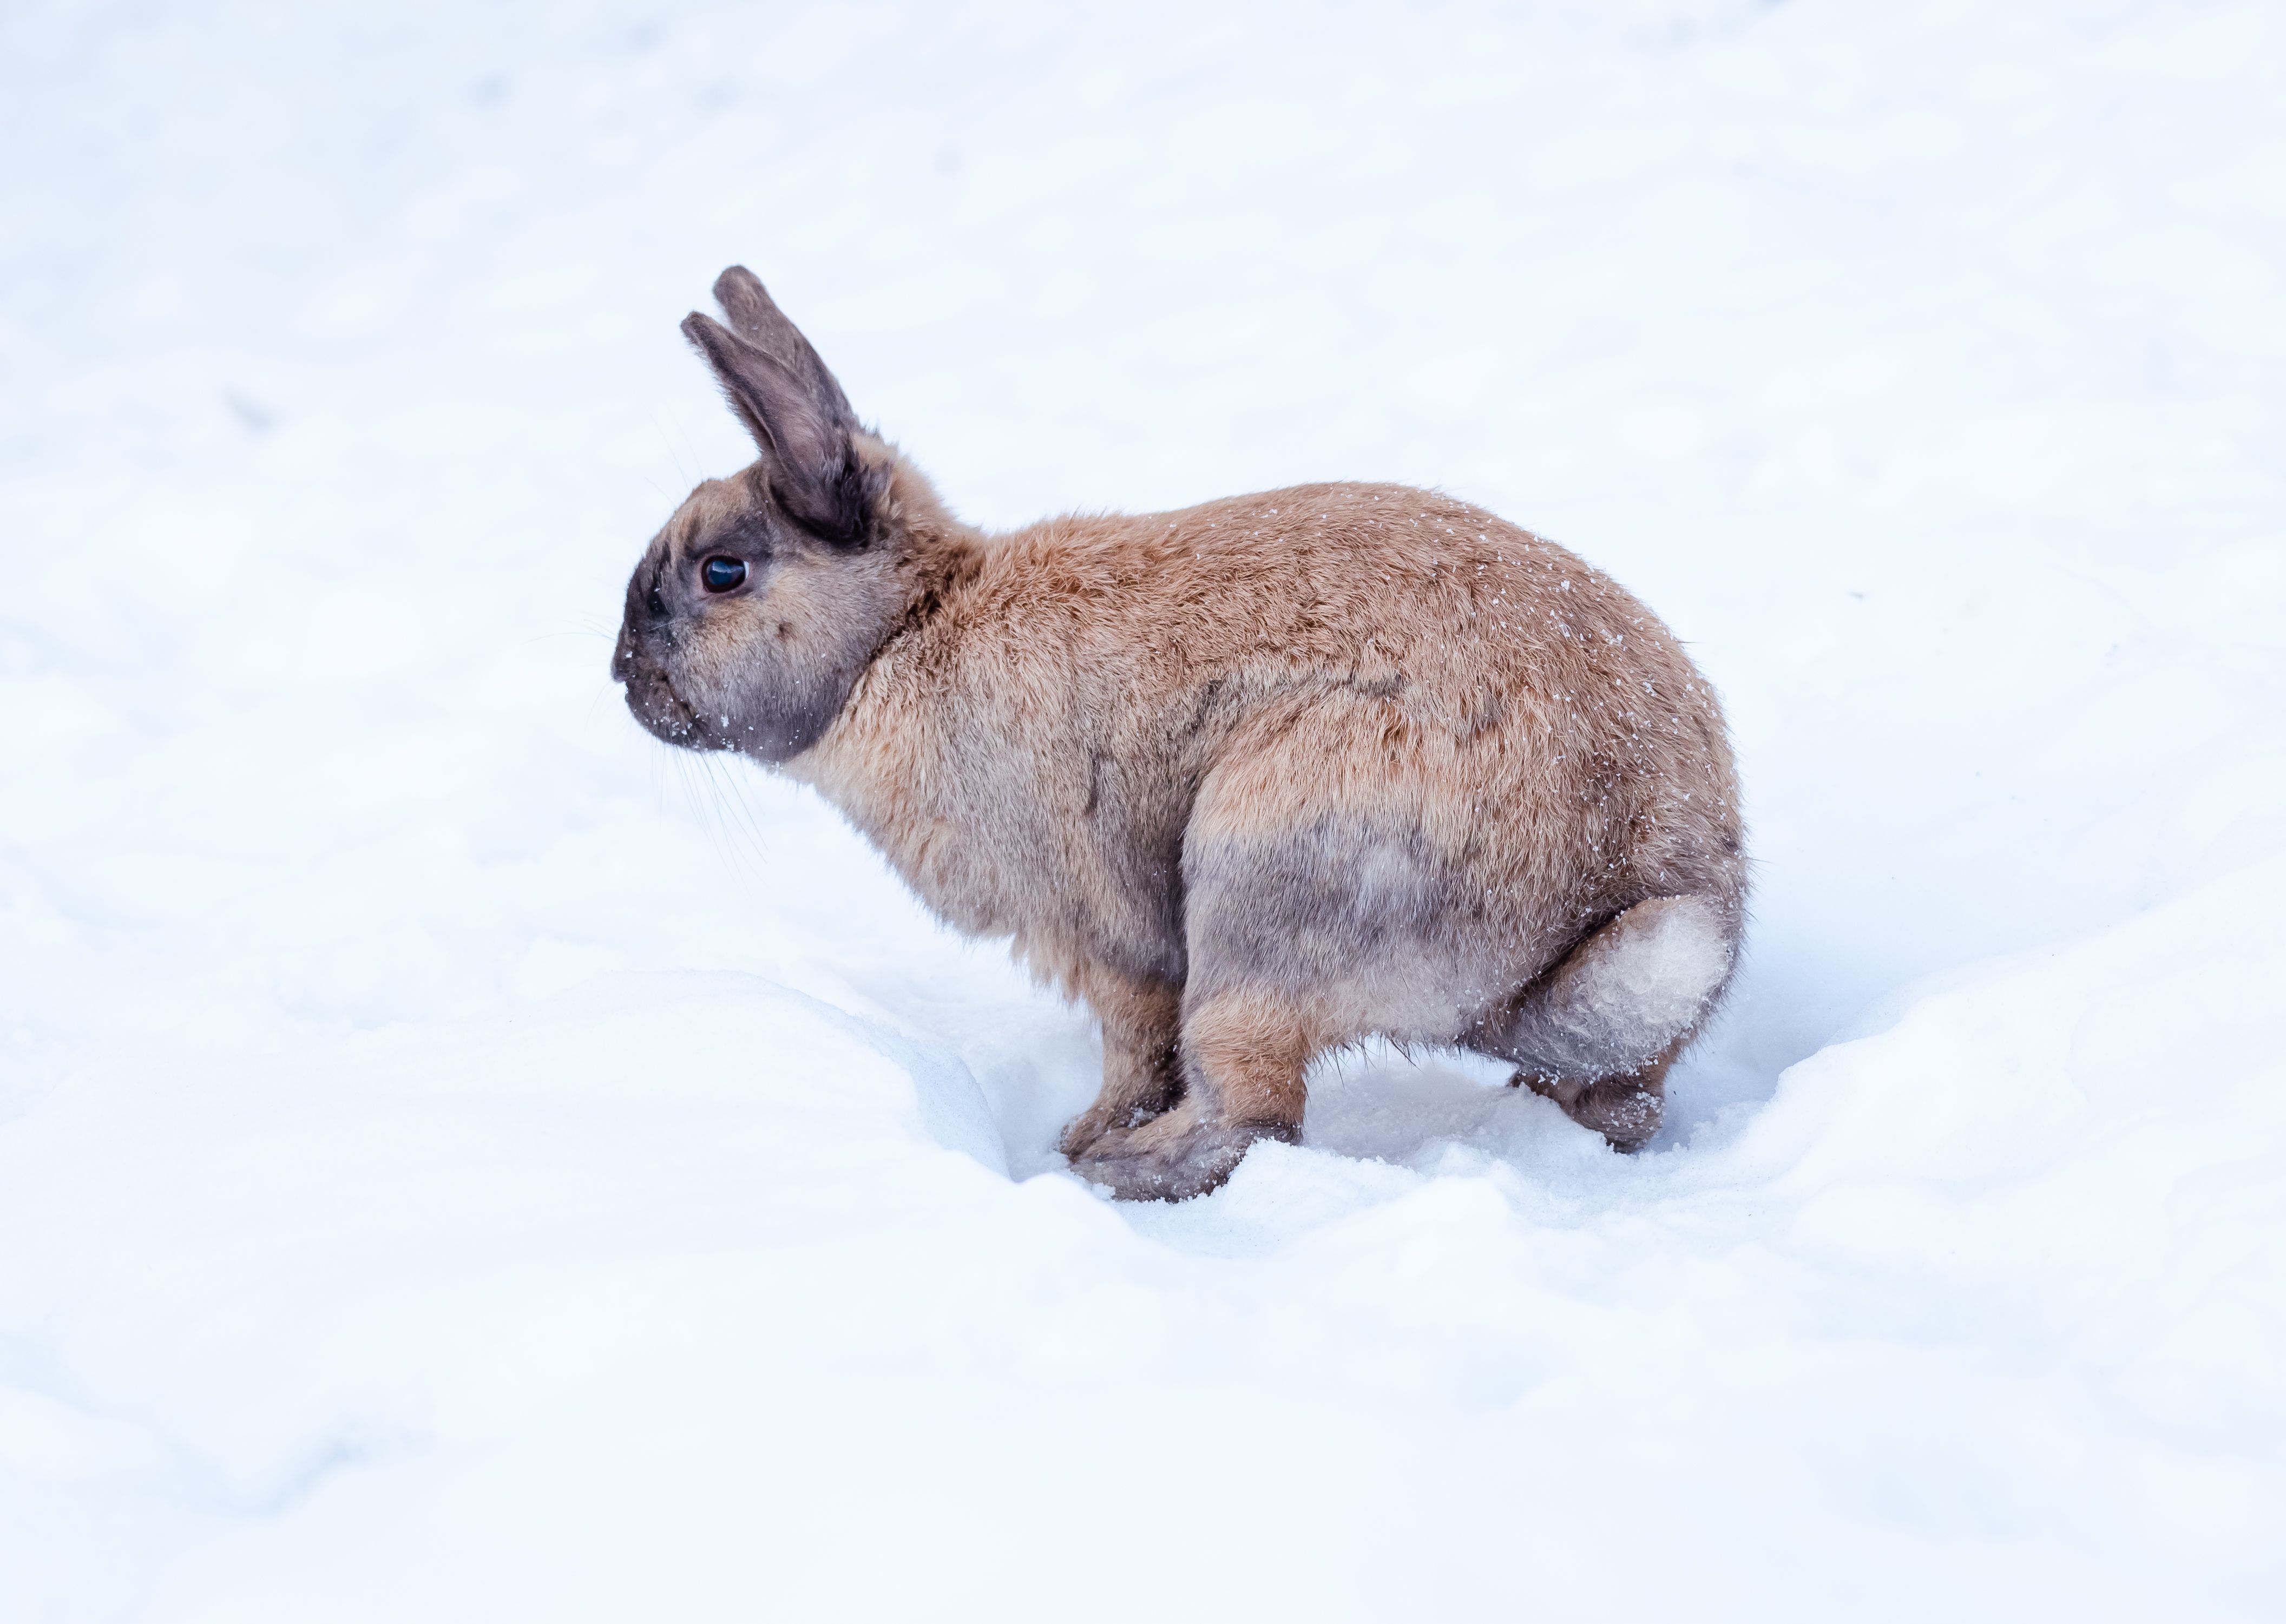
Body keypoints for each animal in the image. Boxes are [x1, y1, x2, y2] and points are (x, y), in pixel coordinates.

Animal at [613, 266, 1747, 1200]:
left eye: (721, 572)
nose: (624, 681)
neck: (906, 630)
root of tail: (1630, 894)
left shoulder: (1104, 942)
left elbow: (1134, 1054)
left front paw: (1083, 1135)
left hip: (1262, 884)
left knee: (1252, 1115)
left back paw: (1111, 1169)